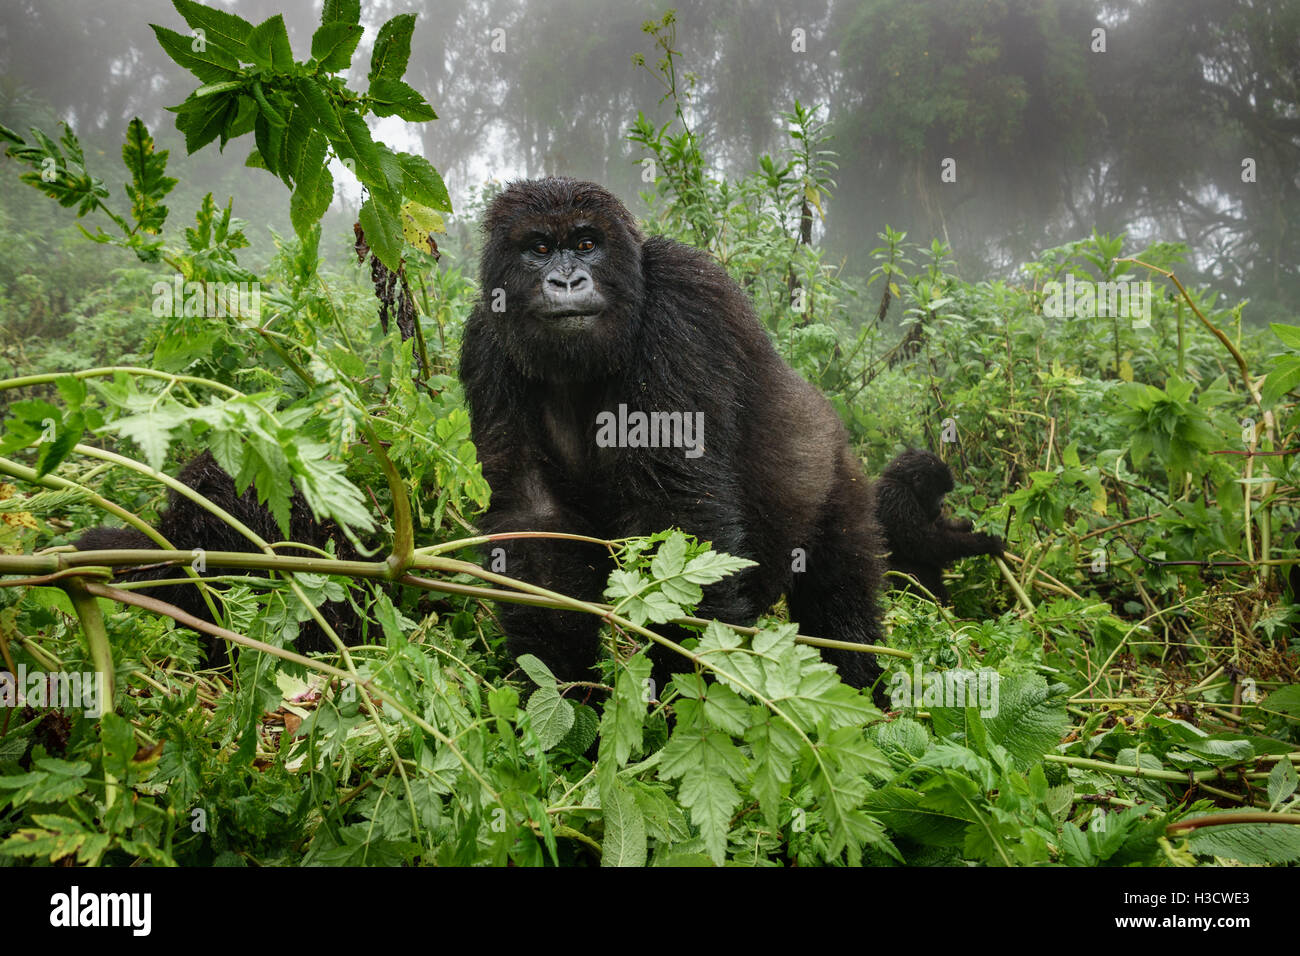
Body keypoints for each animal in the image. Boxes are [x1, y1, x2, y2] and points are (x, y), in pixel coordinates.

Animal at [462, 179, 889, 697]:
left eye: (586, 244)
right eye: (539, 249)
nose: (566, 282)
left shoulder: (684, 298)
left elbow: (679, 513)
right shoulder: (485, 340)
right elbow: (534, 516)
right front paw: (565, 691)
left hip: (842, 482)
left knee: (840, 604)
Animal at [873, 450, 1003, 606]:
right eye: (939, 491)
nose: (942, 504)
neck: (903, 482)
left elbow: (941, 527)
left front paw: (972, 526)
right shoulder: (898, 498)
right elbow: (925, 544)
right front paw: (985, 542)